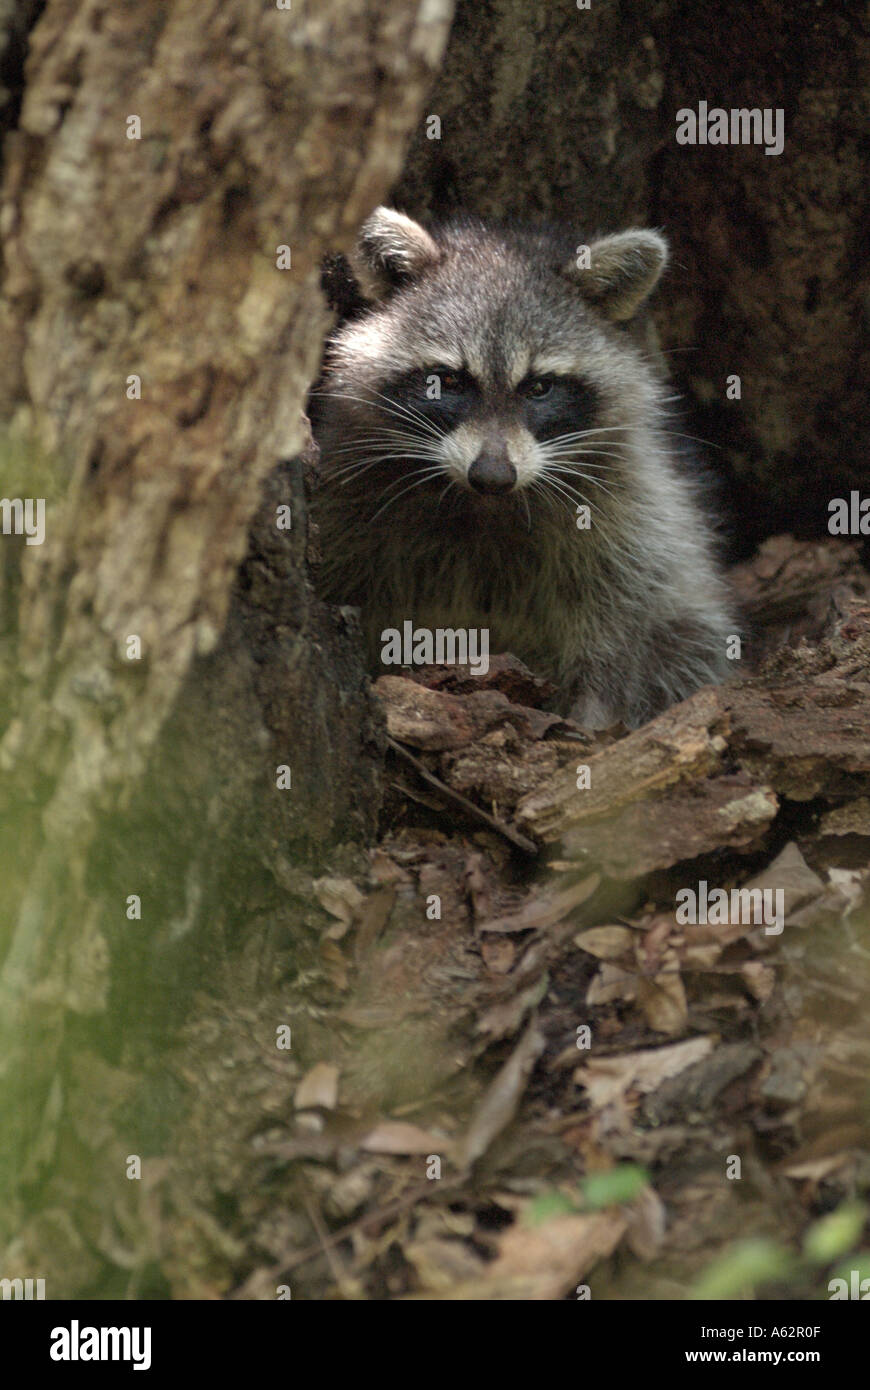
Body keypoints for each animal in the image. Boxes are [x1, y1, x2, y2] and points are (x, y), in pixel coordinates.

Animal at [310, 207, 736, 728]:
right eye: (449, 381)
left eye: (539, 387)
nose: (492, 476)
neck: (479, 508)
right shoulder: (347, 484)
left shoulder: (629, 511)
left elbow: (619, 622)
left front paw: (593, 714)